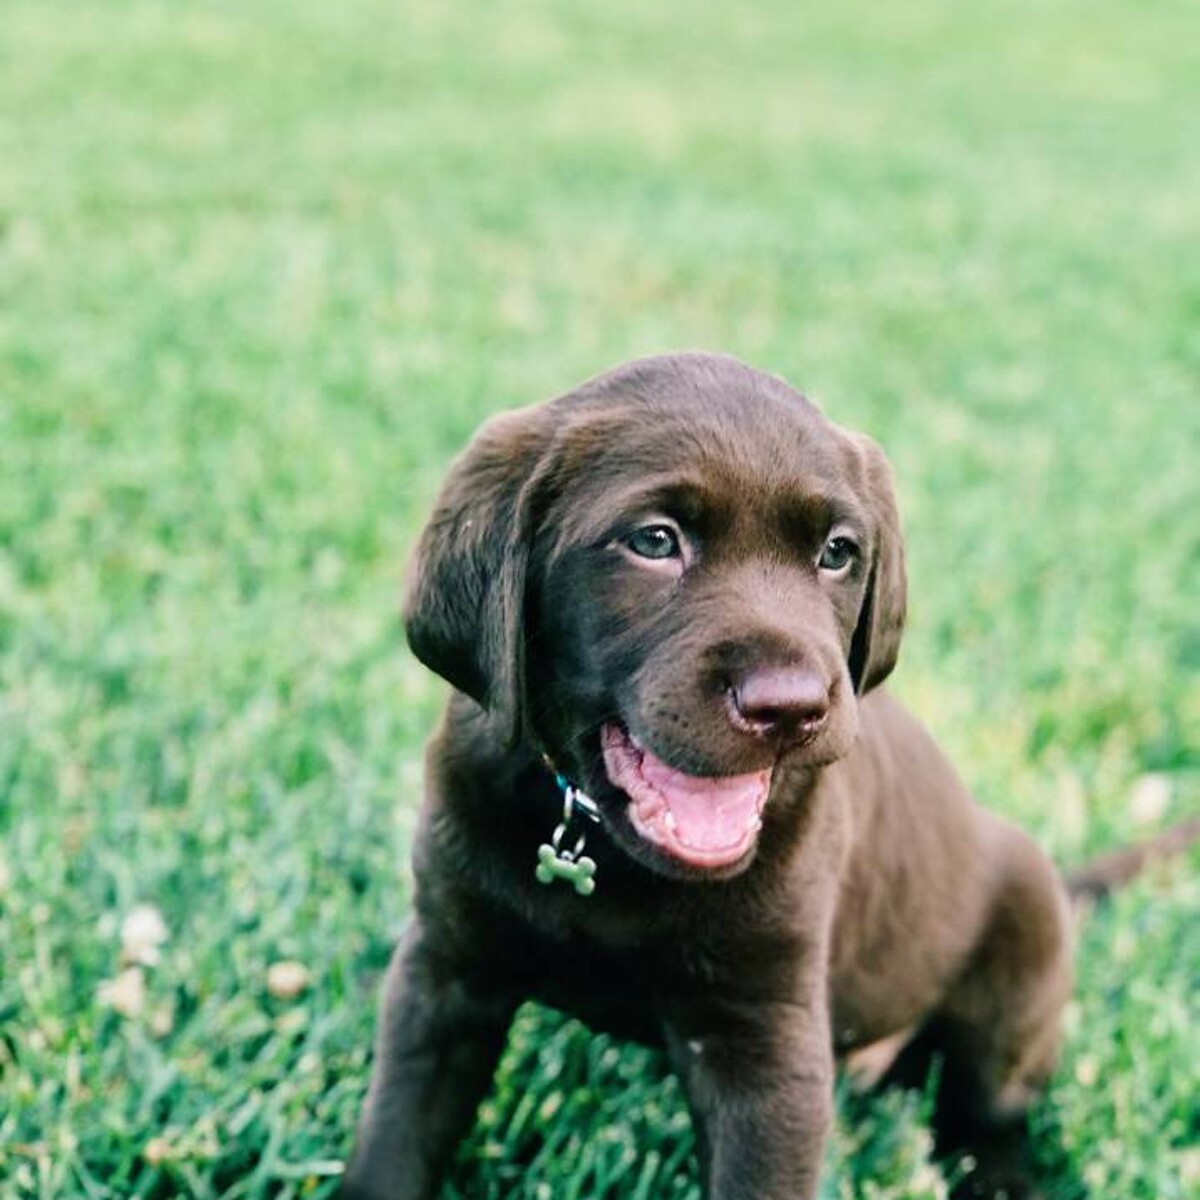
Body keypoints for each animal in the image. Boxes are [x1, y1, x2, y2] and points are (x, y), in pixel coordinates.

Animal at [344, 352, 1108, 1199]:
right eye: (654, 540)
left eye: (838, 552)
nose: (792, 708)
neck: (602, 851)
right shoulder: (445, 972)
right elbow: (396, 1138)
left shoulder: (766, 1047)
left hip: (1022, 951)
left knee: (993, 1111)